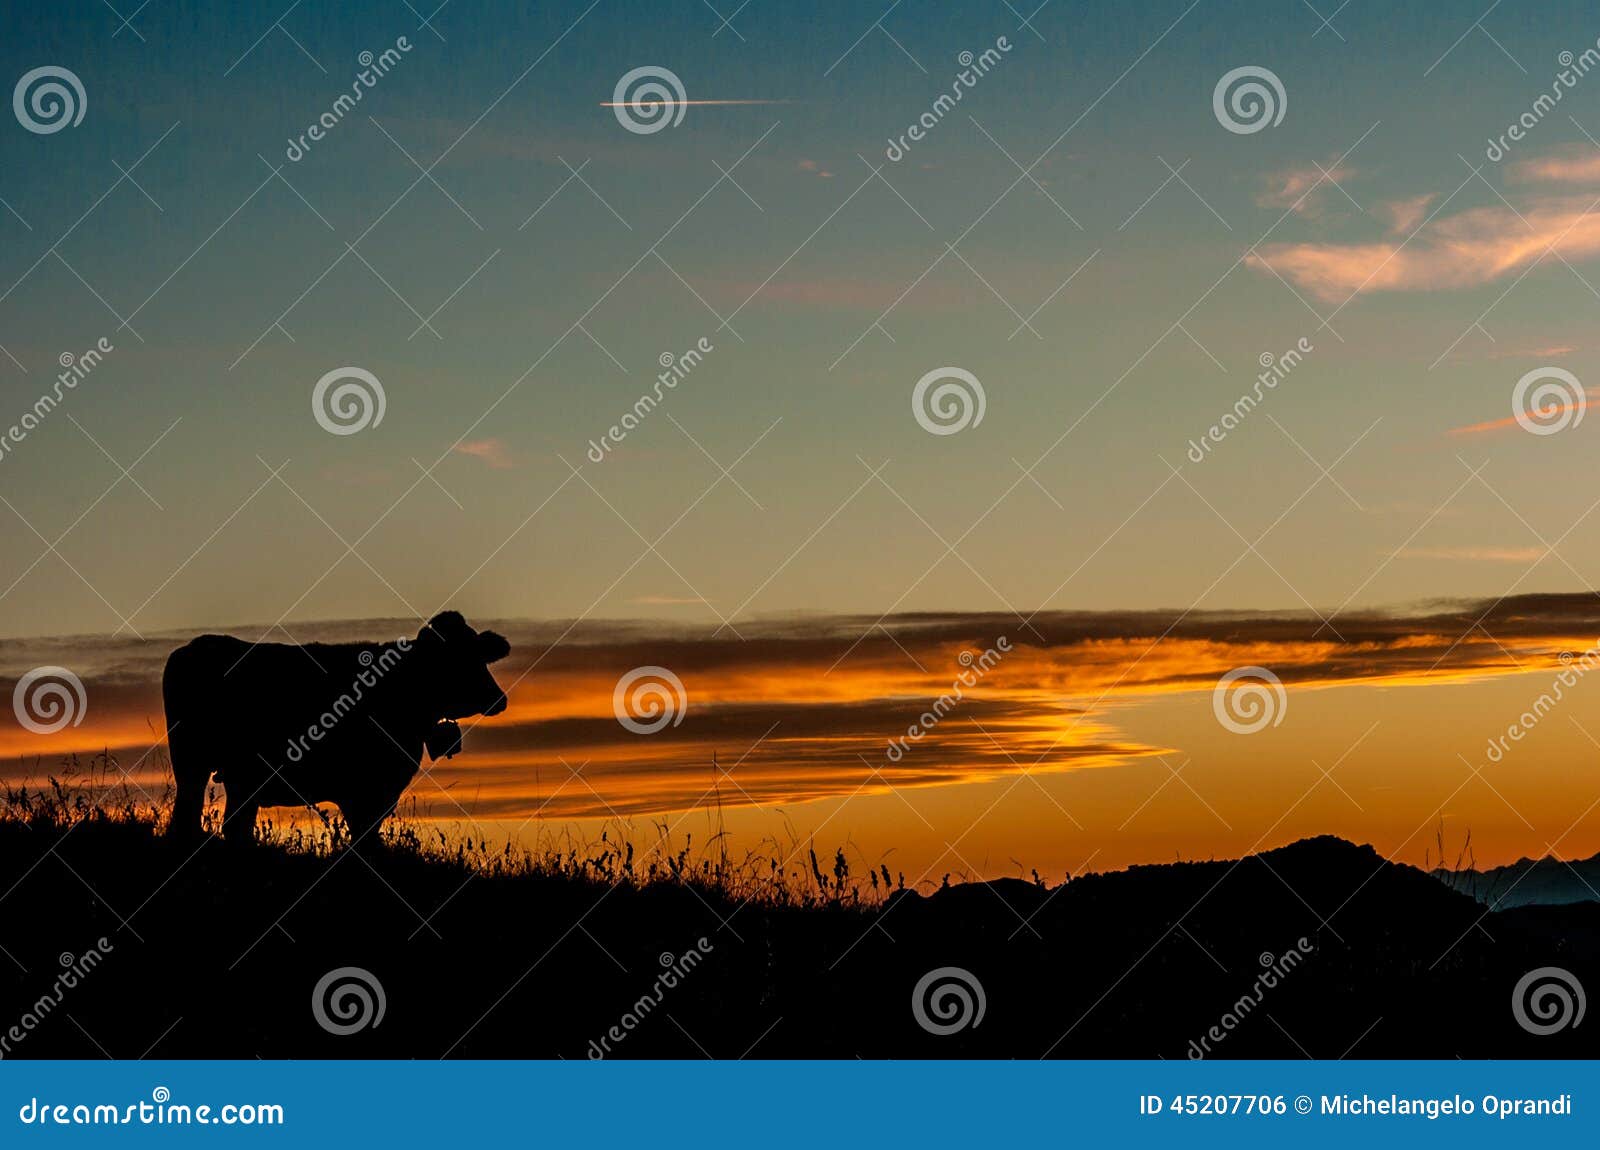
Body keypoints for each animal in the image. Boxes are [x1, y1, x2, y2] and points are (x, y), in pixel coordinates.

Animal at [163, 611, 510, 846]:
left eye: (479, 654)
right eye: (453, 657)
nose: (498, 698)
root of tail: (191, 647)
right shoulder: (365, 790)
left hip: (234, 775)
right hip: (194, 762)